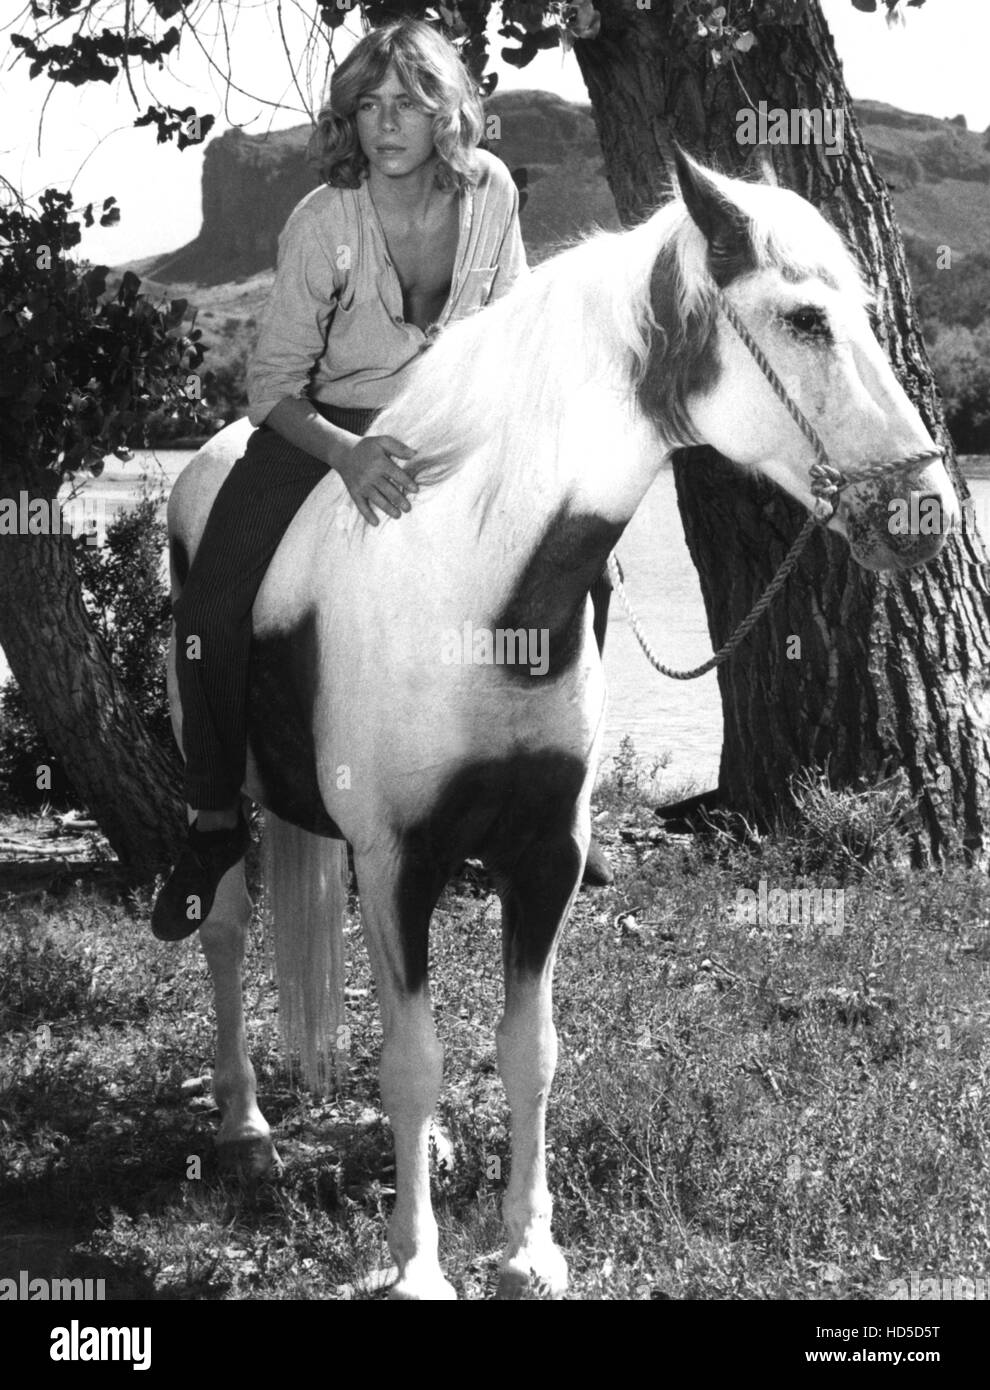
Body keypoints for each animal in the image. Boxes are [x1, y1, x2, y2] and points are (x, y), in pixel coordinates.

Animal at [164, 148, 959, 1300]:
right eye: (806, 320)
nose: (927, 513)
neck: (478, 592)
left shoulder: (545, 854)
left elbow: (526, 1048)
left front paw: (529, 1245)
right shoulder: (399, 857)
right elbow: (415, 1061)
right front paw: (417, 1263)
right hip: (218, 791)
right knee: (224, 931)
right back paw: (246, 1129)